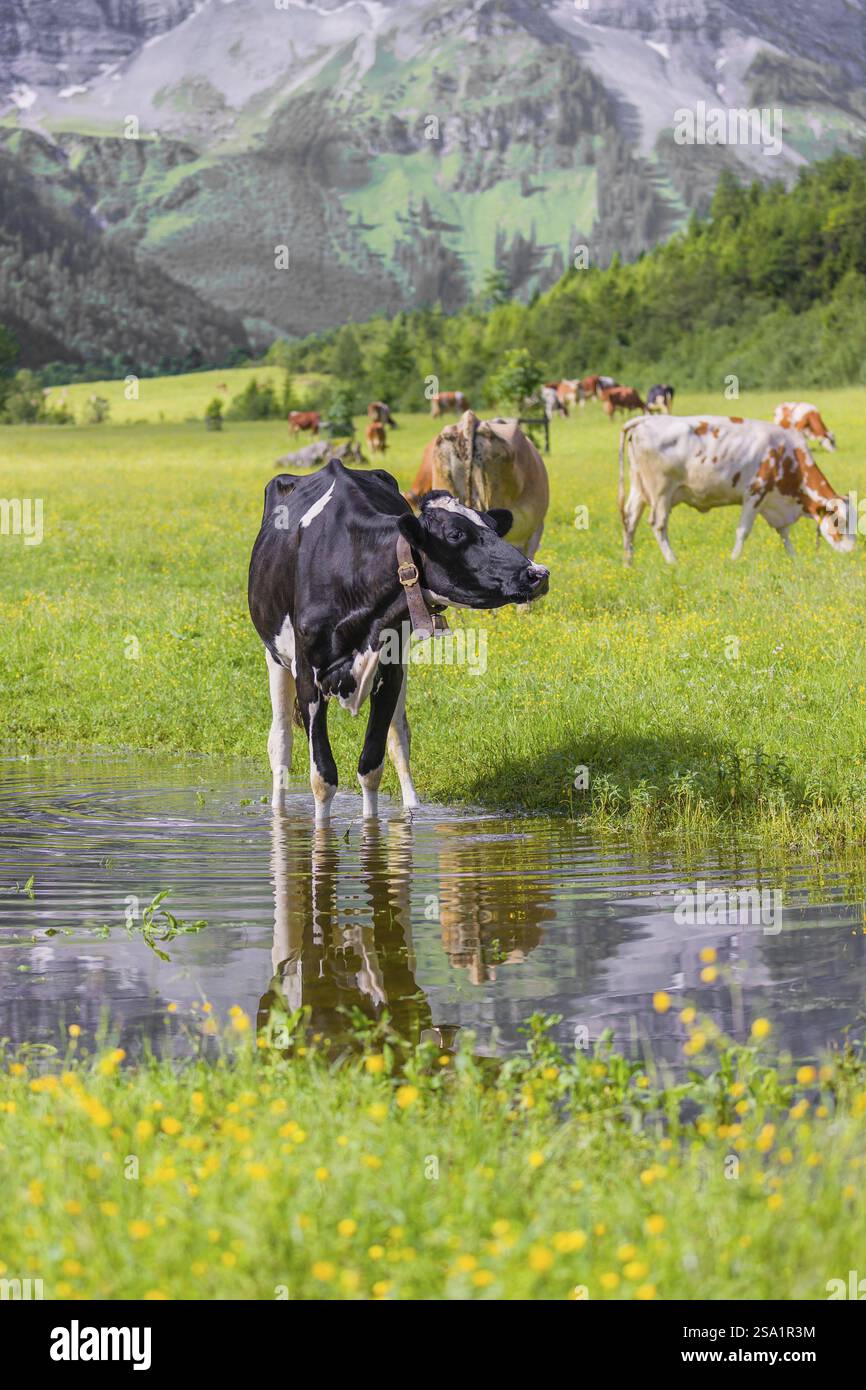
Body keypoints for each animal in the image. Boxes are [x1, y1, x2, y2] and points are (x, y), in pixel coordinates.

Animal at [248, 459, 549, 821]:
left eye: (492, 526)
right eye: (456, 534)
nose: (538, 573)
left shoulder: (390, 669)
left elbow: (372, 765)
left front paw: (372, 825)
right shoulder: (307, 676)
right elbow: (323, 777)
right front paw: (322, 830)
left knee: (399, 738)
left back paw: (411, 807)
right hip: (276, 658)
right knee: (280, 742)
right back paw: (278, 813)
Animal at [618, 414, 854, 565]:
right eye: (838, 522)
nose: (851, 550)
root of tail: (646, 420)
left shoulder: (775, 503)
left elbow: (784, 533)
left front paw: (794, 559)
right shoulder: (755, 494)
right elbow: (743, 531)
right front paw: (733, 560)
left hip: (638, 488)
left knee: (630, 520)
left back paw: (629, 562)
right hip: (661, 493)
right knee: (658, 524)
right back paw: (672, 561)